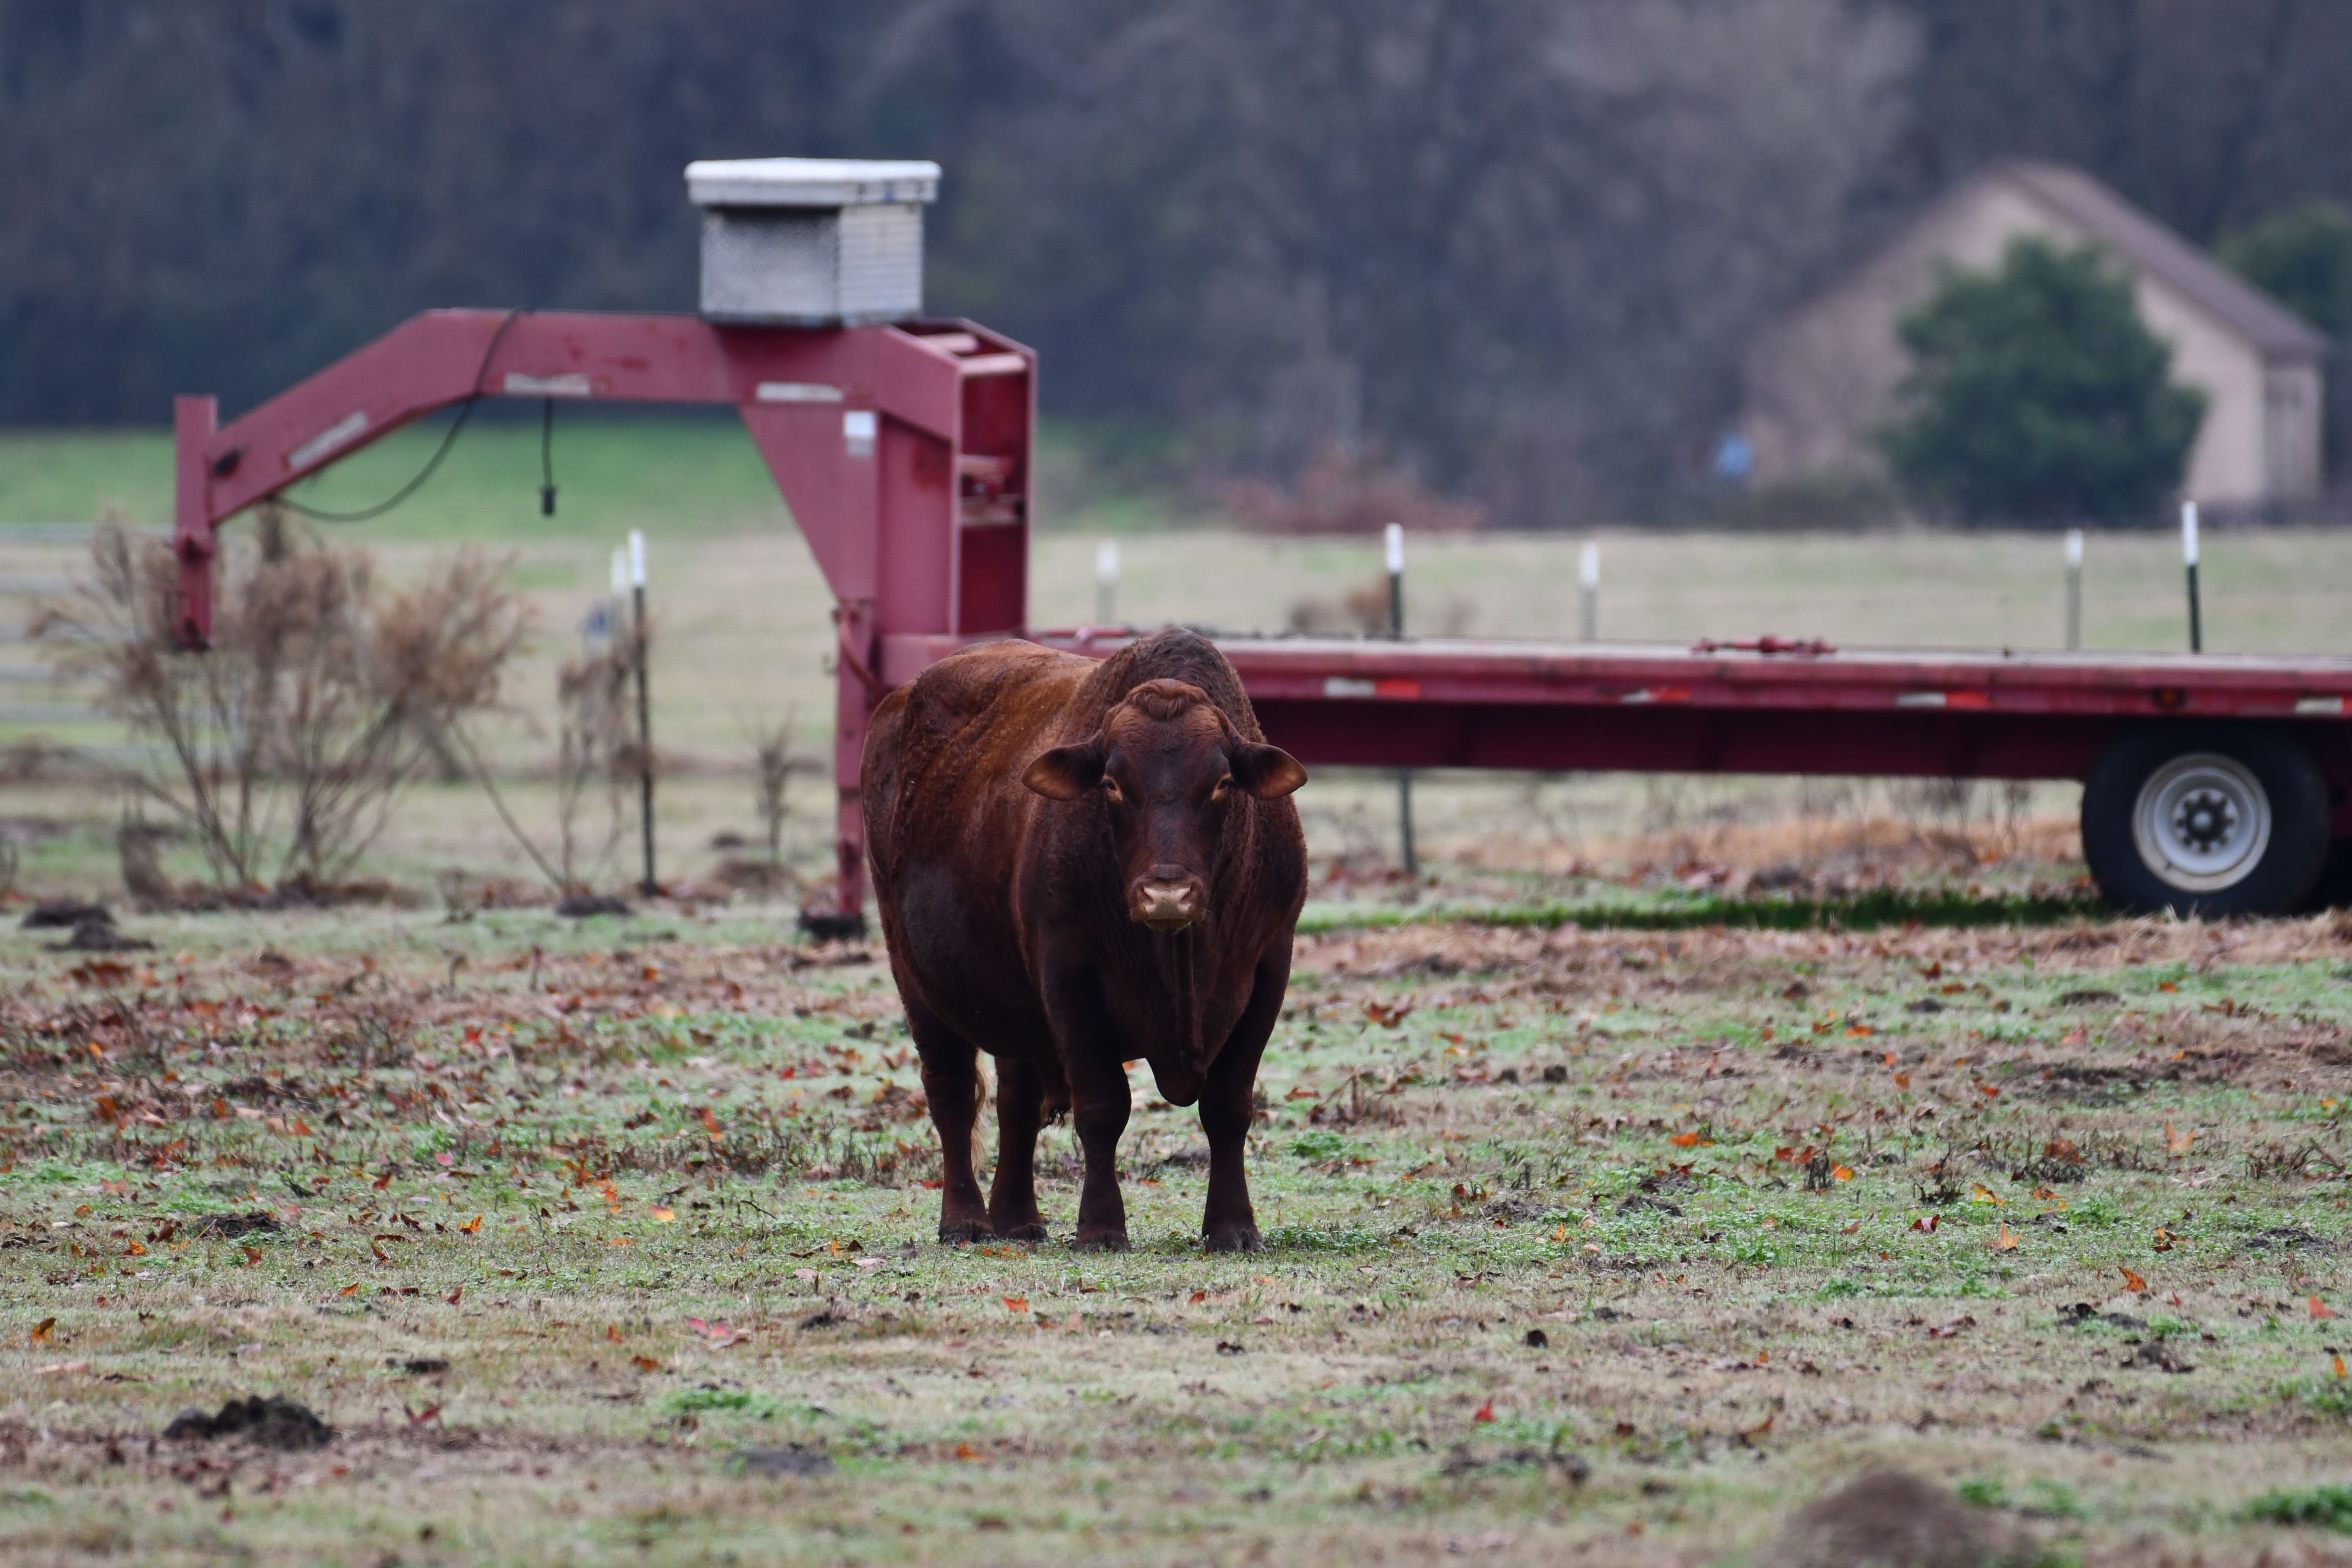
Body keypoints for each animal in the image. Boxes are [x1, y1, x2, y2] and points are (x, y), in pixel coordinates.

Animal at [861, 628, 1308, 1252]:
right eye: (1114, 785)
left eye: (1221, 784)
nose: (1166, 894)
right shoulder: (1070, 977)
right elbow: (1101, 1106)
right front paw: (1100, 1225)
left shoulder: (1269, 967)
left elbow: (1229, 1105)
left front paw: (1233, 1226)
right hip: (916, 977)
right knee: (950, 1092)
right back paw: (966, 1218)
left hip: (1013, 1004)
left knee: (1016, 1101)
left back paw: (1018, 1217)